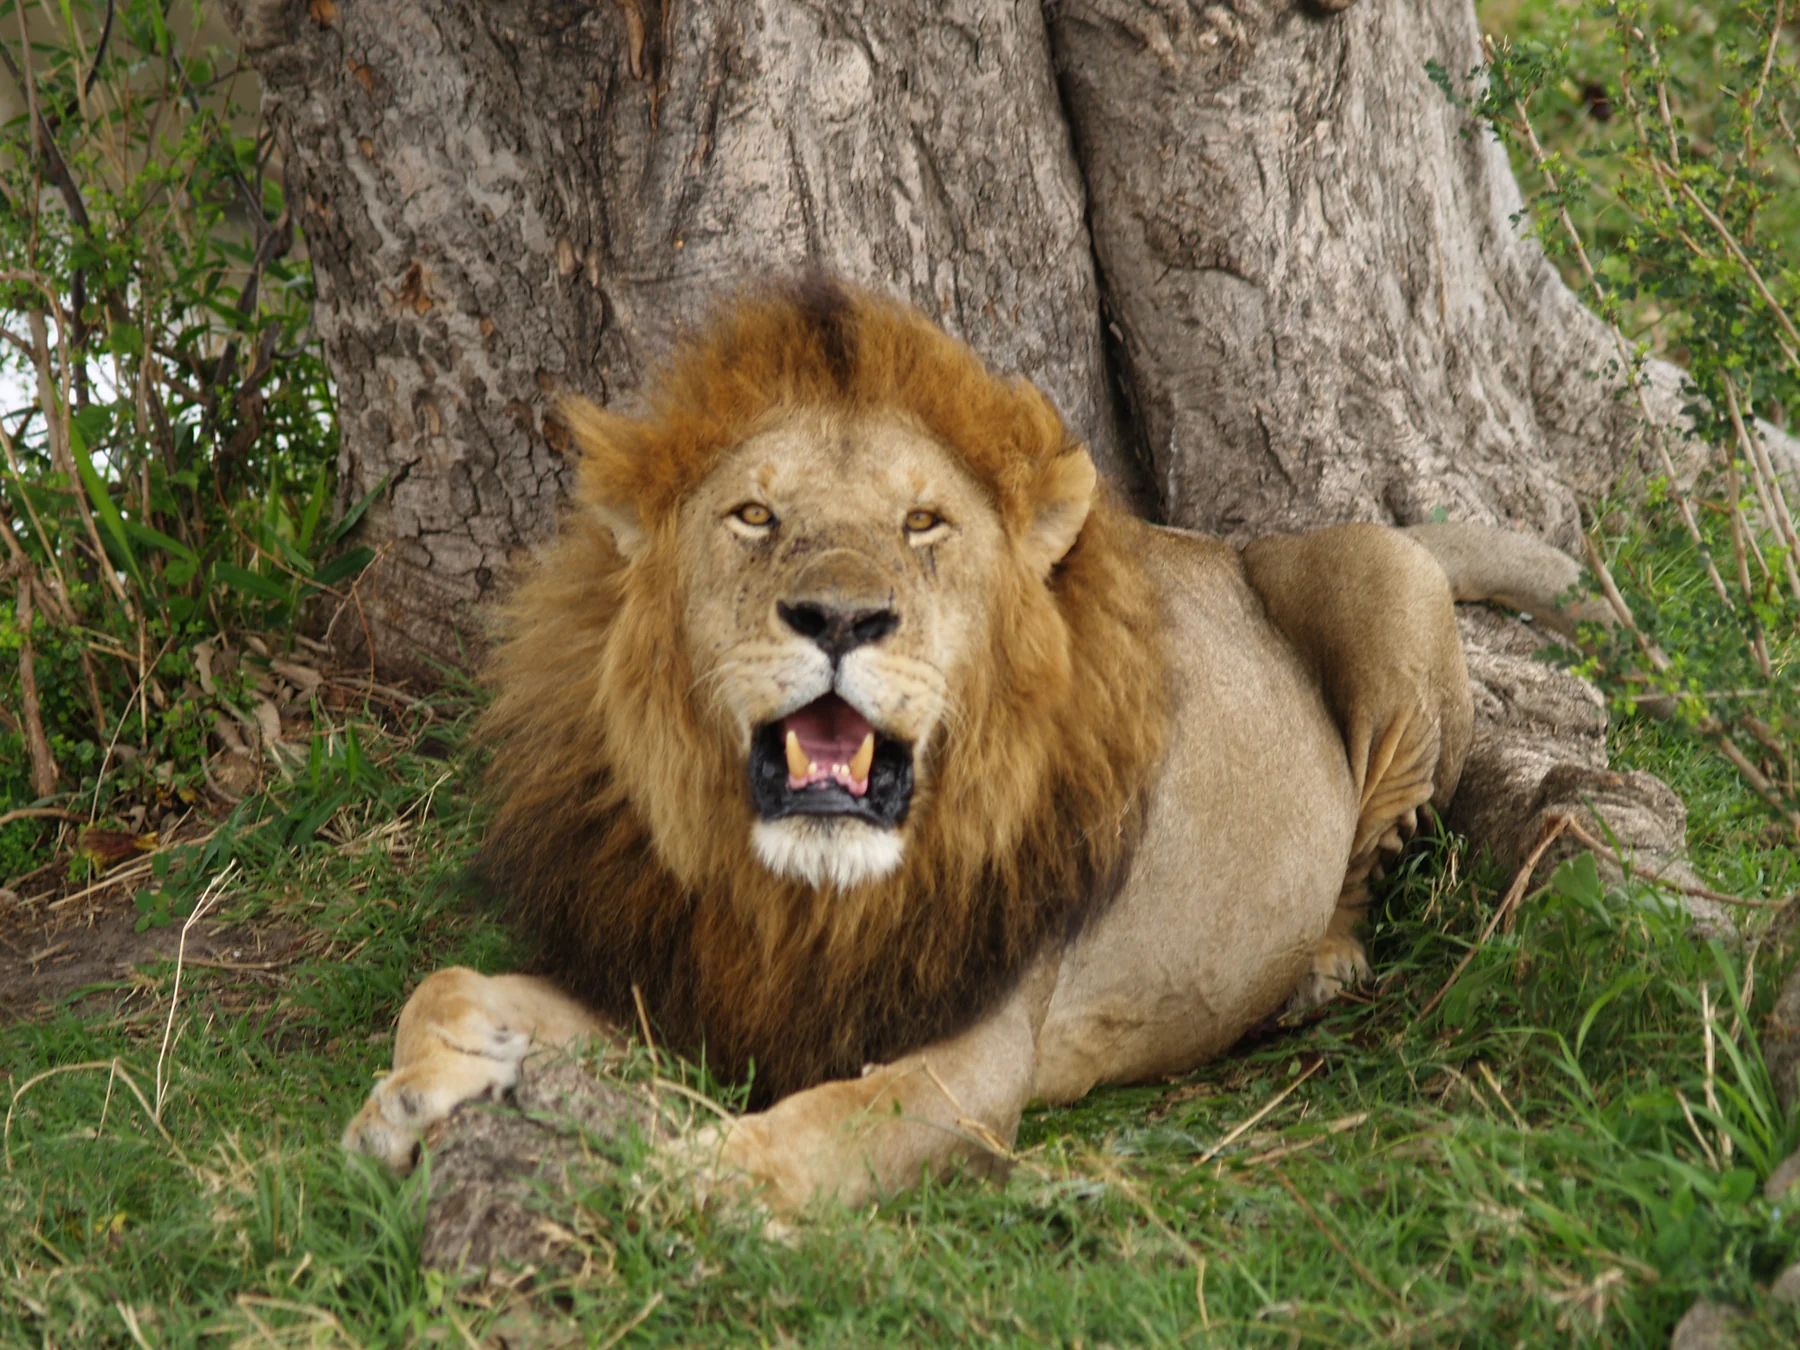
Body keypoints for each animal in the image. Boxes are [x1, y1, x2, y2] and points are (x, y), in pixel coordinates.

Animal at [343, 277, 1599, 1212]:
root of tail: (1242, 545)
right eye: (754, 515)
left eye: (922, 524)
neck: (803, 897)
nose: (840, 617)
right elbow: (446, 981)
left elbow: (833, 1120)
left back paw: (1320, 969)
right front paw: (406, 1098)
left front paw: (697, 1178)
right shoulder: (682, 987)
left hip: (1384, 583)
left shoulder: (972, 1065)